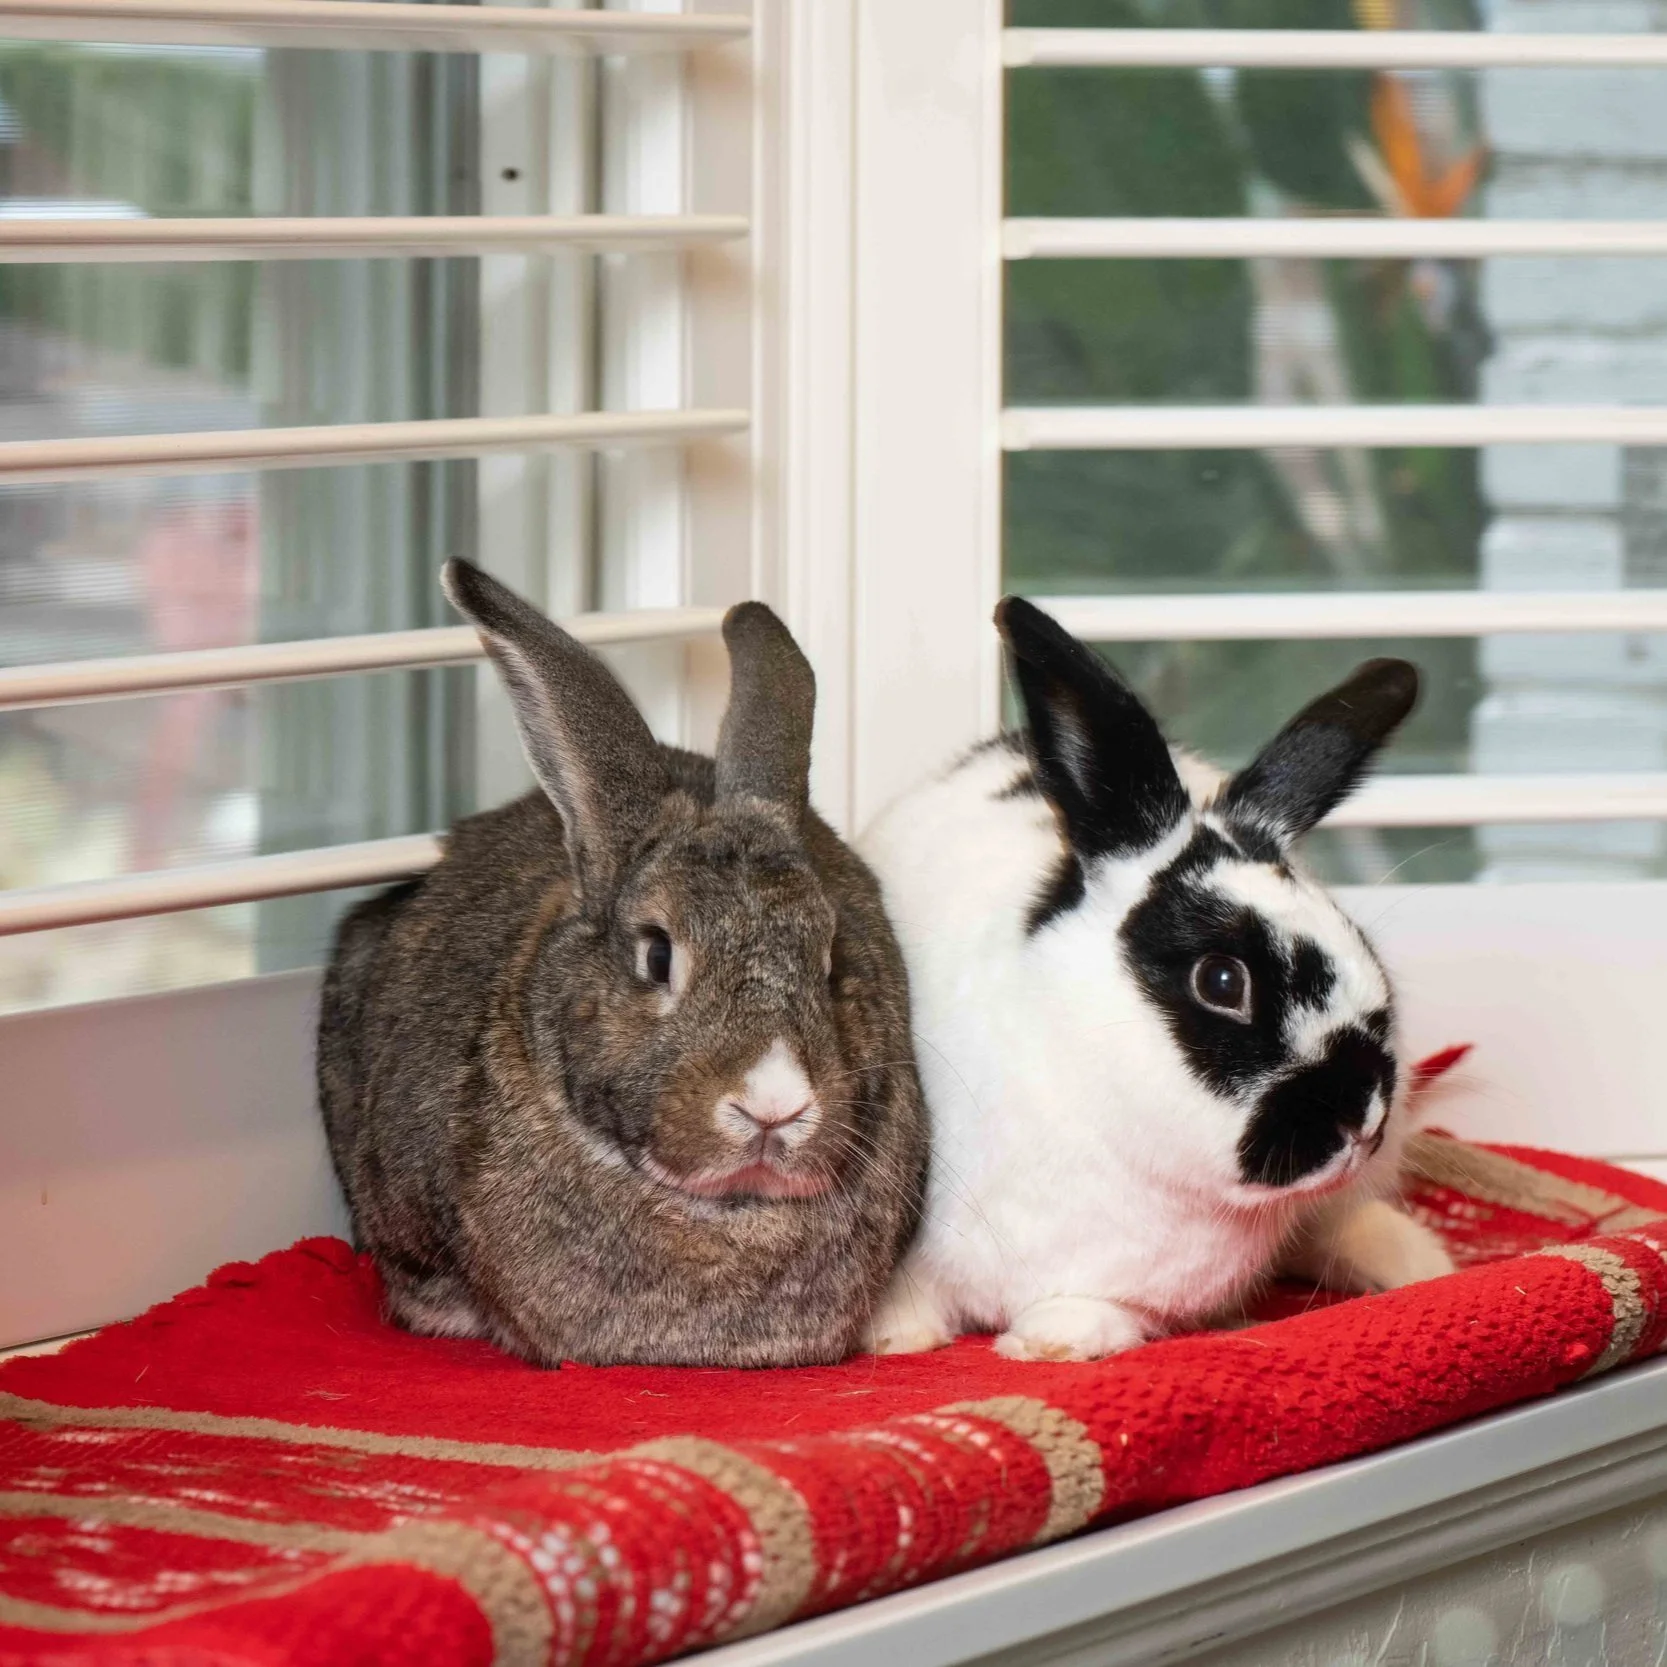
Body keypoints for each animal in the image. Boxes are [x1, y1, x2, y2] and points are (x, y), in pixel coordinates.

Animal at [858, 597, 1453, 1364]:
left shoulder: (1120, 1286)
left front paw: (1048, 1344)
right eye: (1222, 981)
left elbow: (1089, 1308)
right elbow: (910, 1295)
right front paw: (896, 1338)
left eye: (1365, 948)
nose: (1361, 1116)